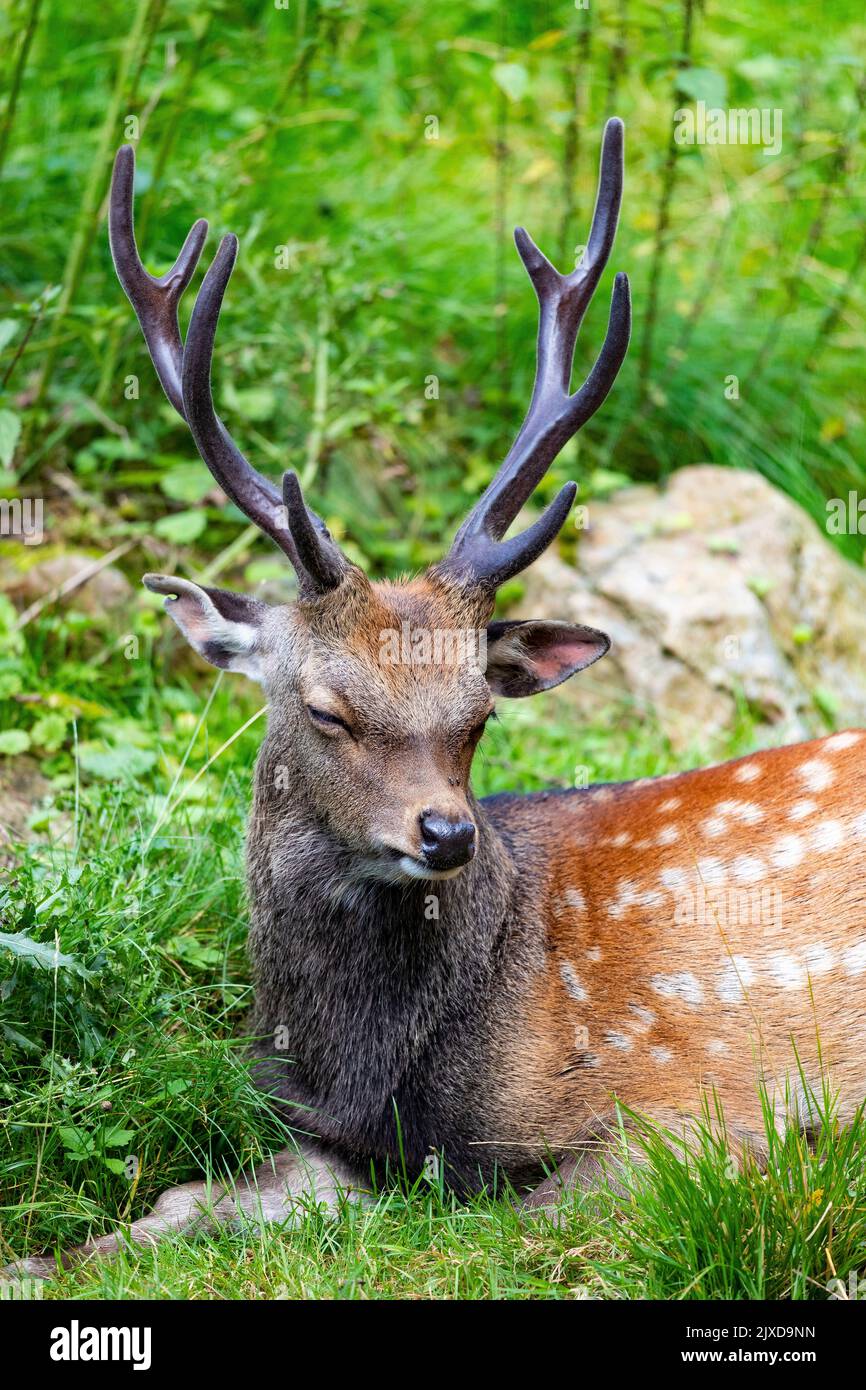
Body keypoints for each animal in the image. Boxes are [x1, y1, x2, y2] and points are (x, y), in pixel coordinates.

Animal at [8, 118, 866, 1279]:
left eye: (479, 712)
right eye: (326, 708)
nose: (445, 832)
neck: (390, 1074)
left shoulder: (701, 1108)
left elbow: (509, 1214)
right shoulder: (318, 1131)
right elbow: (198, 1198)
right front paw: (45, 1259)